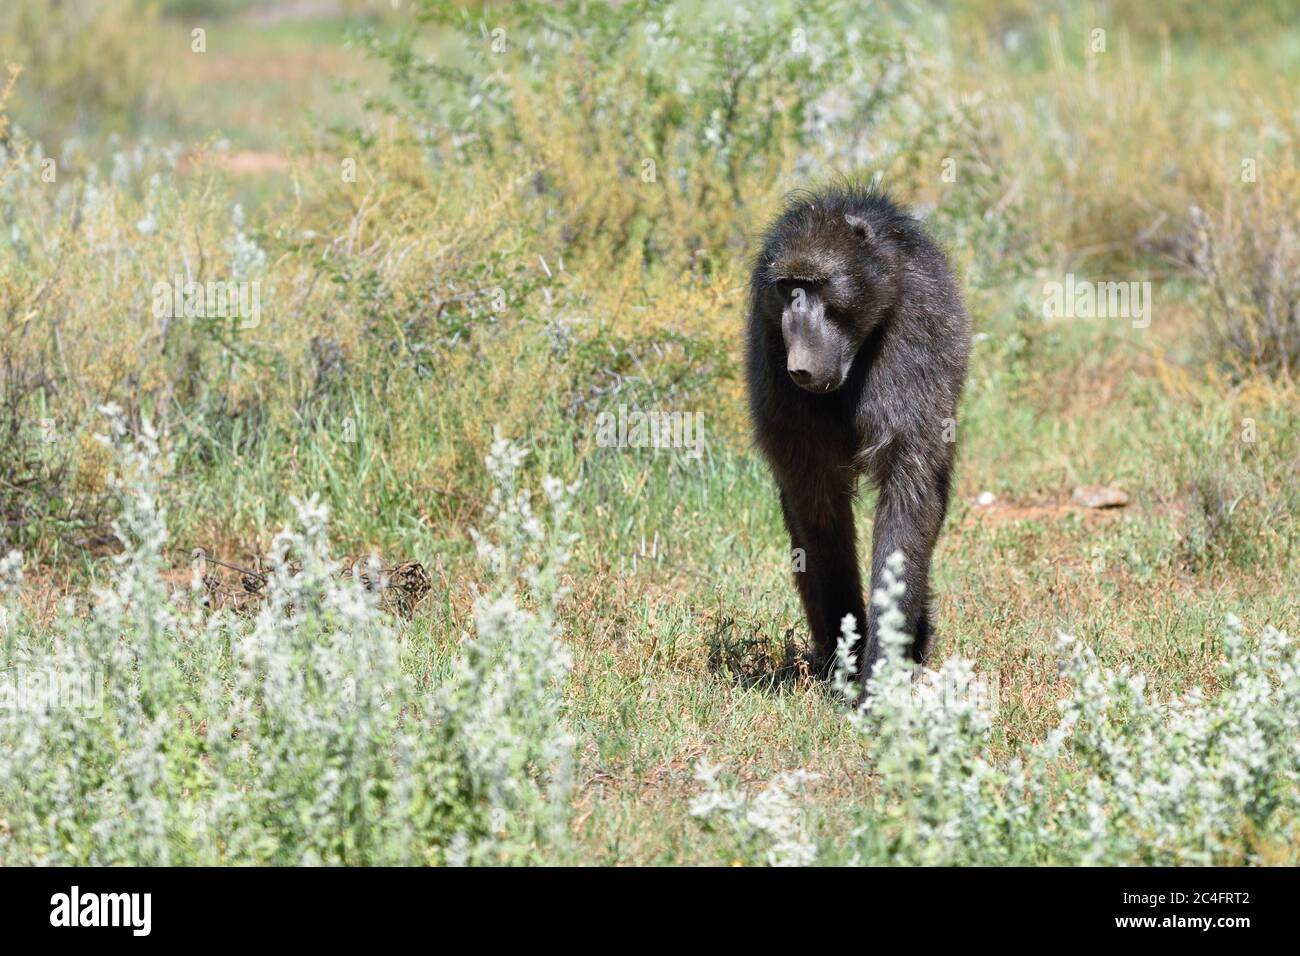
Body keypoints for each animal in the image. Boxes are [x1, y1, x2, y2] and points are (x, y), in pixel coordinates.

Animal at [745, 184, 971, 686]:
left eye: (816, 285)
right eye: (788, 287)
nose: (800, 364)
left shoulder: (914, 335)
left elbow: (909, 498)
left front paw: (878, 676)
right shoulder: (770, 344)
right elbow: (817, 505)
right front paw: (845, 655)